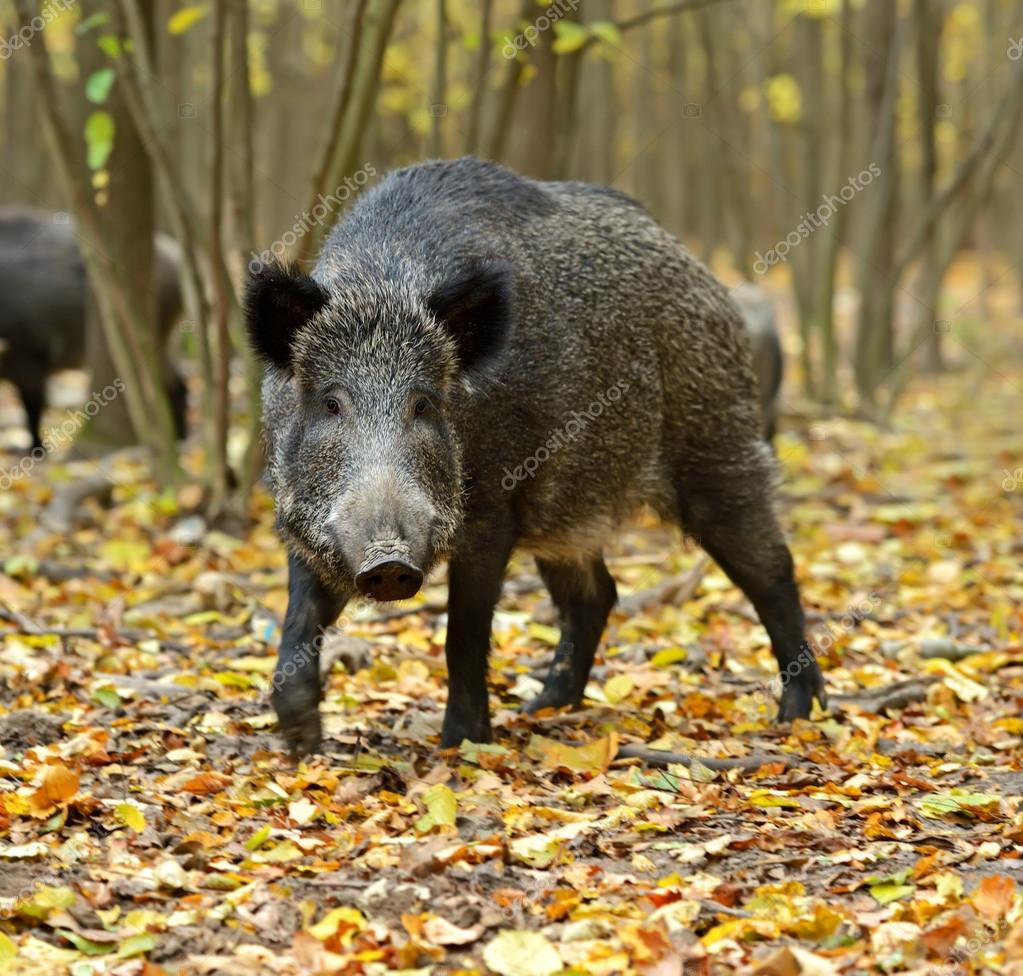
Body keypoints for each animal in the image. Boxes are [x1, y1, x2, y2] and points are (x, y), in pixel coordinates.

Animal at [0, 206, 187, 450]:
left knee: (173, 387)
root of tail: (175, 257)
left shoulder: (28, 360)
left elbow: (33, 409)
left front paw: (36, 450)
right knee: (176, 384)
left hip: (159, 336)